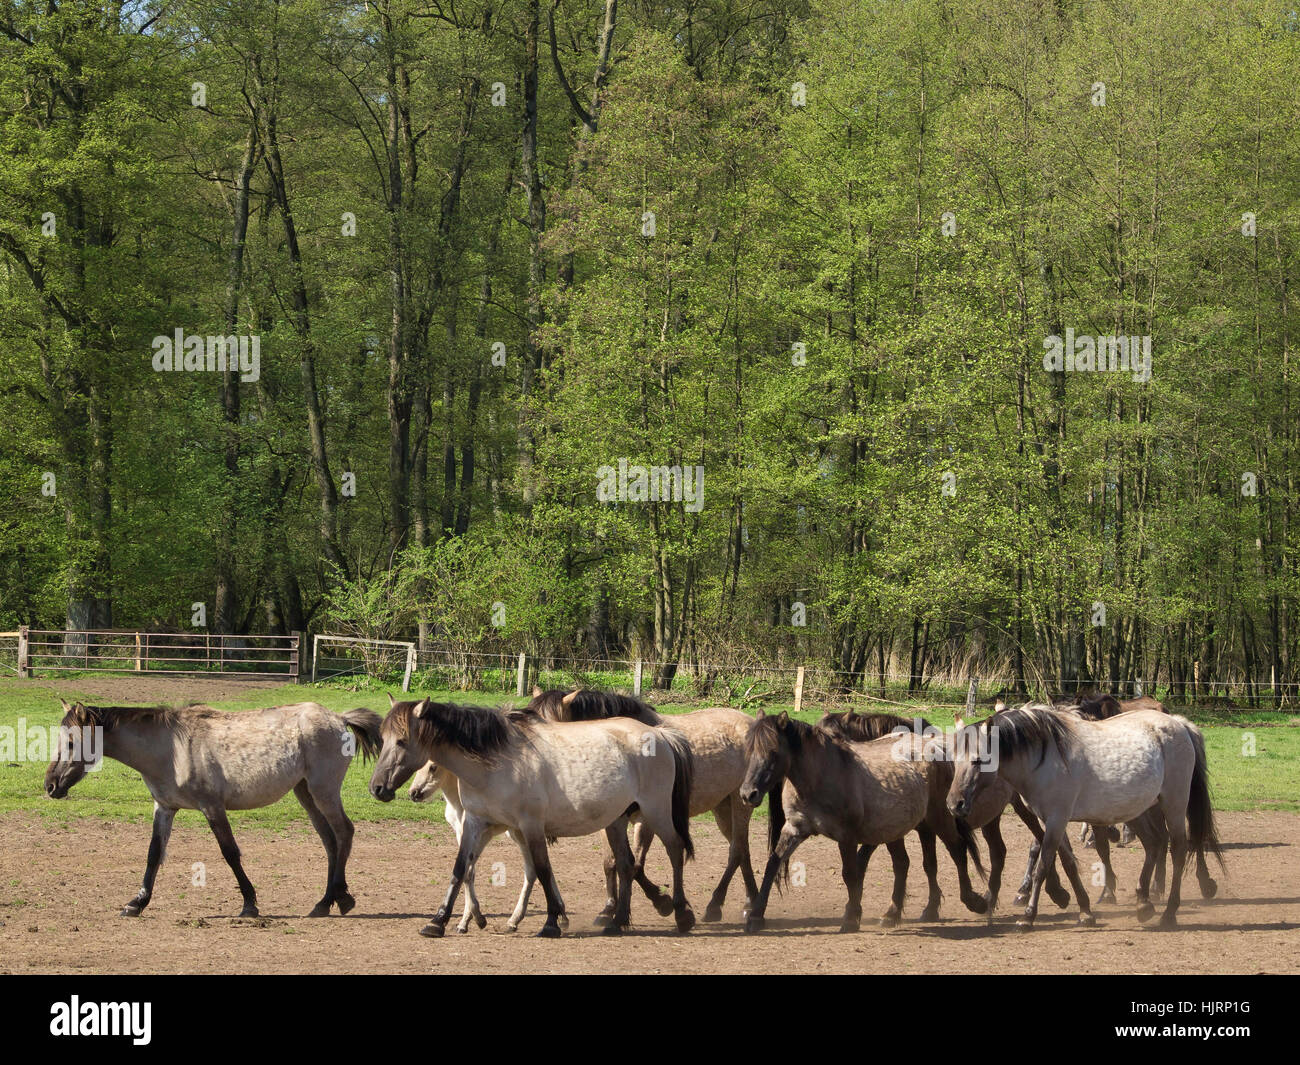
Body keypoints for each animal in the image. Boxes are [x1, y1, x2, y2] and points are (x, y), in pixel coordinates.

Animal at [44, 698, 382, 918]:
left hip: (323, 791)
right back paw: (325, 903)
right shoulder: (164, 808)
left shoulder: (212, 807)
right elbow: (154, 854)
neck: (171, 749)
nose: (50, 785)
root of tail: (339, 718)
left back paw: (339, 898)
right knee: (330, 841)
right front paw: (136, 903)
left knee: (344, 832)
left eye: (72, 743)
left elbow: (229, 852)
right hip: (306, 793)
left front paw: (249, 904)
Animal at [370, 698, 696, 938]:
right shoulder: (474, 823)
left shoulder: (530, 826)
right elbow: (461, 868)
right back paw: (617, 922)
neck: (495, 762)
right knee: (626, 864)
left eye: (401, 741)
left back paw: (682, 914)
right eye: (382, 738)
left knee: (674, 849)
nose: (377, 788)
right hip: (615, 821)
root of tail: (660, 735)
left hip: (656, 812)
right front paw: (437, 922)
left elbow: (542, 870)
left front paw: (551, 922)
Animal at [527, 688, 758, 923]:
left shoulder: (645, 818)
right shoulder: (607, 819)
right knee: (743, 850)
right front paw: (608, 909)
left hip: (740, 803)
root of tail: (752, 723)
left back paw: (720, 906)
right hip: (722, 807)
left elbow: (635, 864)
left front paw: (661, 902)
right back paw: (751, 902)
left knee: (736, 851)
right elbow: (611, 862)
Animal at [740, 709, 955, 933]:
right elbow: (772, 864)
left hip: (933, 820)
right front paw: (755, 916)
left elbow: (851, 873)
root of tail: (936, 747)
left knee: (949, 852)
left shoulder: (847, 836)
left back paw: (944, 906)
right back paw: (892, 914)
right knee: (902, 863)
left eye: (773, 752)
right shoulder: (794, 829)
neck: (819, 778)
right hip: (895, 829)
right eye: (749, 751)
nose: (748, 794)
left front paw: (851, 918)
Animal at [948, 704, 1223, 929]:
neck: (1044, 758)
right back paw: (1144, 903)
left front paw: (1028, 916)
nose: (954, 804)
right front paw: (1085, 911)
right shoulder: (1050, 821)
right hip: (1140, 809)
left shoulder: (1057, 819)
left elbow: (1043, 866)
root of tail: (1179, 724)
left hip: (1174, 804)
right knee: (1155, 844)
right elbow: (1068, 863)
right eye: (954, 759)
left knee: (1178, 850)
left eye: (979, 760)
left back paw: (1169, 912)